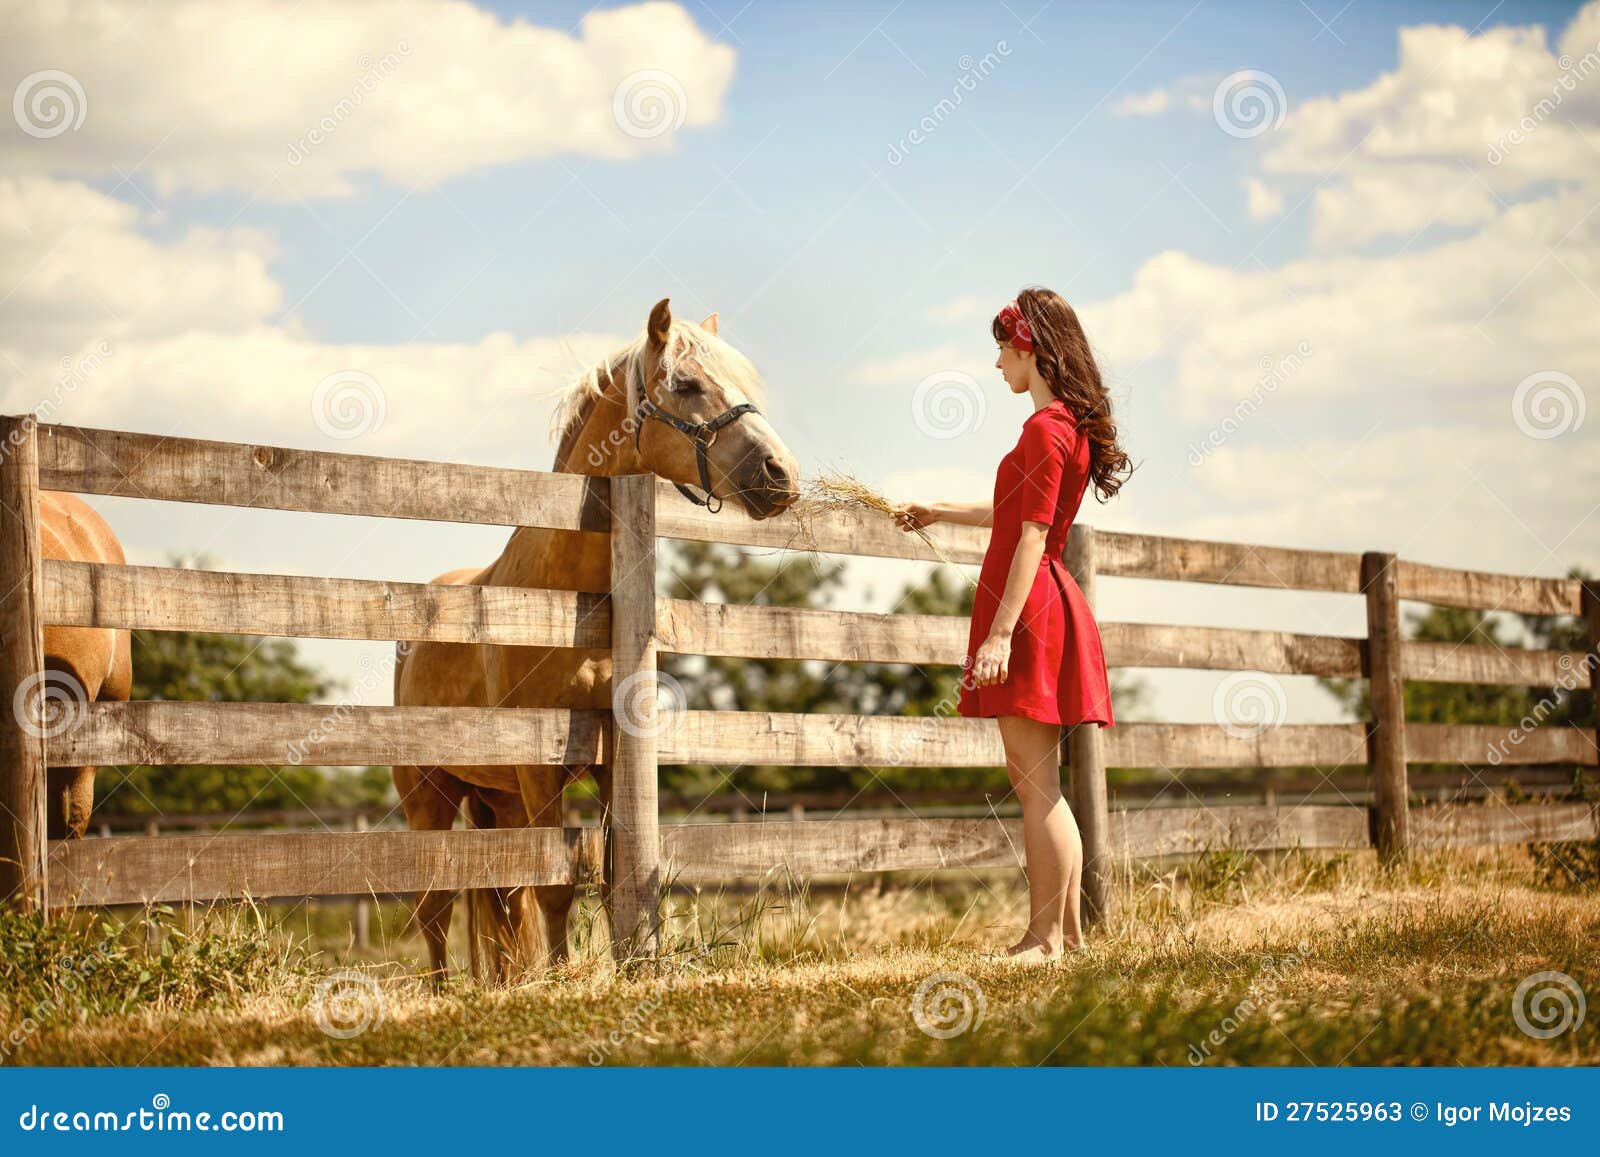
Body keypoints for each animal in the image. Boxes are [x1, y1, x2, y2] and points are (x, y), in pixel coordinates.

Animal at [393, 299, 800, 982]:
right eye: (685, 384)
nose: (782, 475)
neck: (569, 603)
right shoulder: (538, 769)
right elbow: (556, 889)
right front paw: (561, 980)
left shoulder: (610, 763)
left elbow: (611, 883)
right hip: (428, 794)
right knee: (436, 909)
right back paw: (445, 991)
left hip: (493, 798)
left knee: (499, 898)